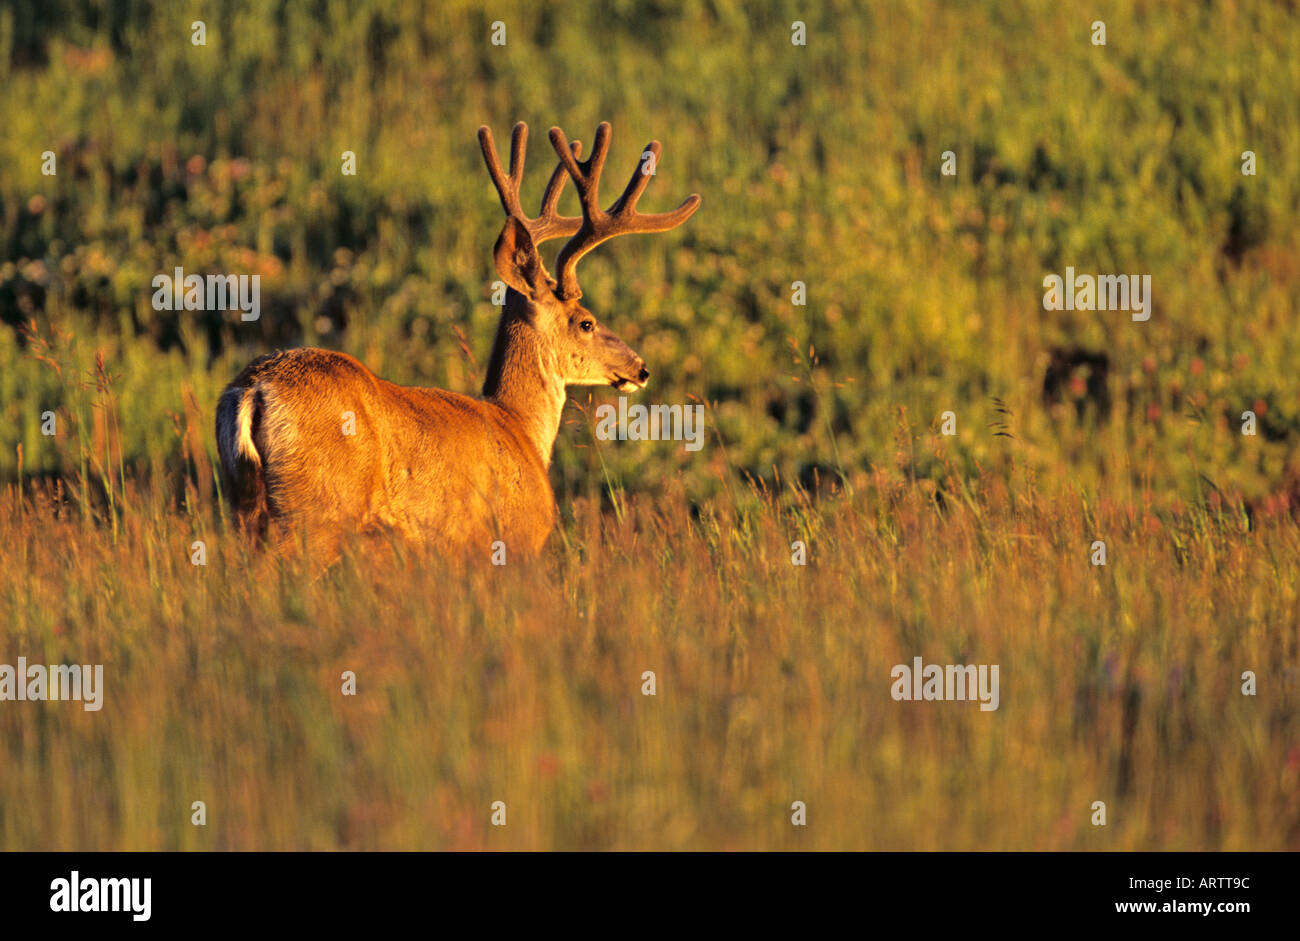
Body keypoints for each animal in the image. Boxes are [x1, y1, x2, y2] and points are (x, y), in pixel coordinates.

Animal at [215, 121, 700, 560]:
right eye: (585, 322)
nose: (640, 368)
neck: (518, 425)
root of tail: (254, 389)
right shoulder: (513, 537)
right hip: (316, 512)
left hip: (246, 508)